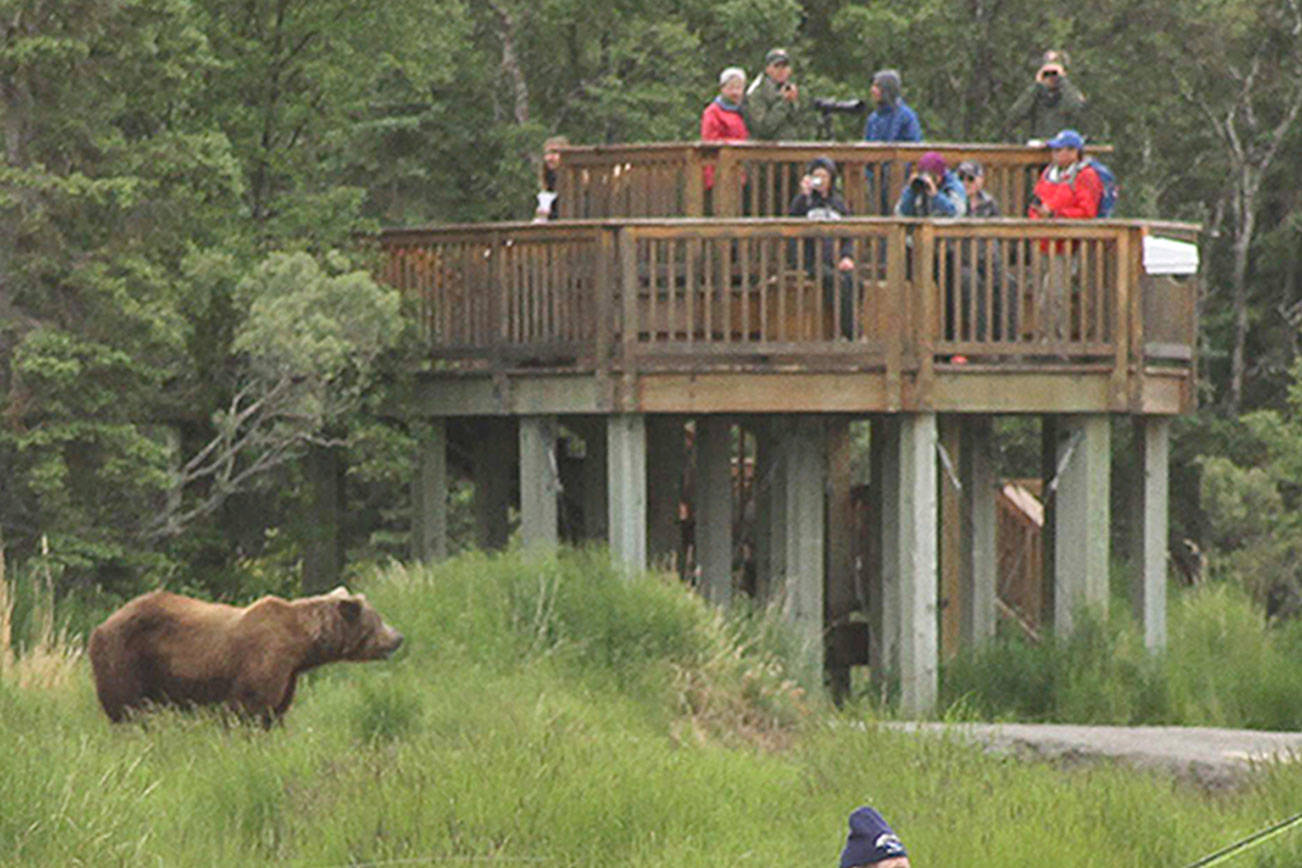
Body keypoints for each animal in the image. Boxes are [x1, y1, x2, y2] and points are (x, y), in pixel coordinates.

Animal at [88, 586, 403, 726]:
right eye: (377, 620)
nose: (398, 637)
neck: (300, 646)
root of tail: (100, 625)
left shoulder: (288, 675)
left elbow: (275, 711)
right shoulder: (263, 660)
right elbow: (248, 708)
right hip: (126, 657)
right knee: (126, 708)